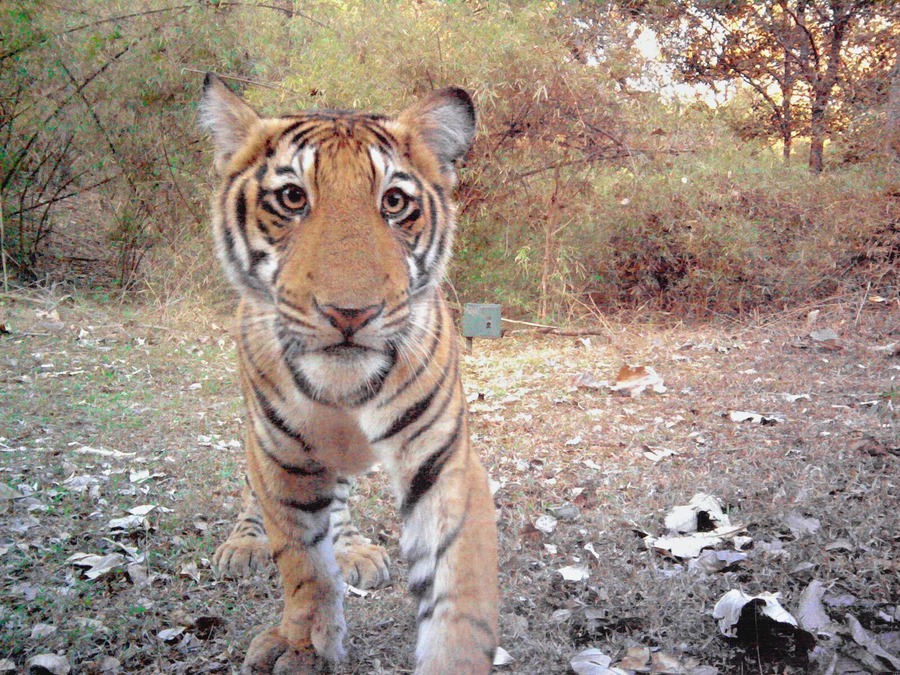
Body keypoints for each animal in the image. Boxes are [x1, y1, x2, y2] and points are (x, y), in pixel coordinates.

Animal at [199, 73, 499, 675]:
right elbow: (303, 565)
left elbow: (457, 592)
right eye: (292, 198)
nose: (350, 314)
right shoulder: (281, 456)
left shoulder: (442, 459)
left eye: (394, 202)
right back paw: (244, 544)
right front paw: (300, 645)